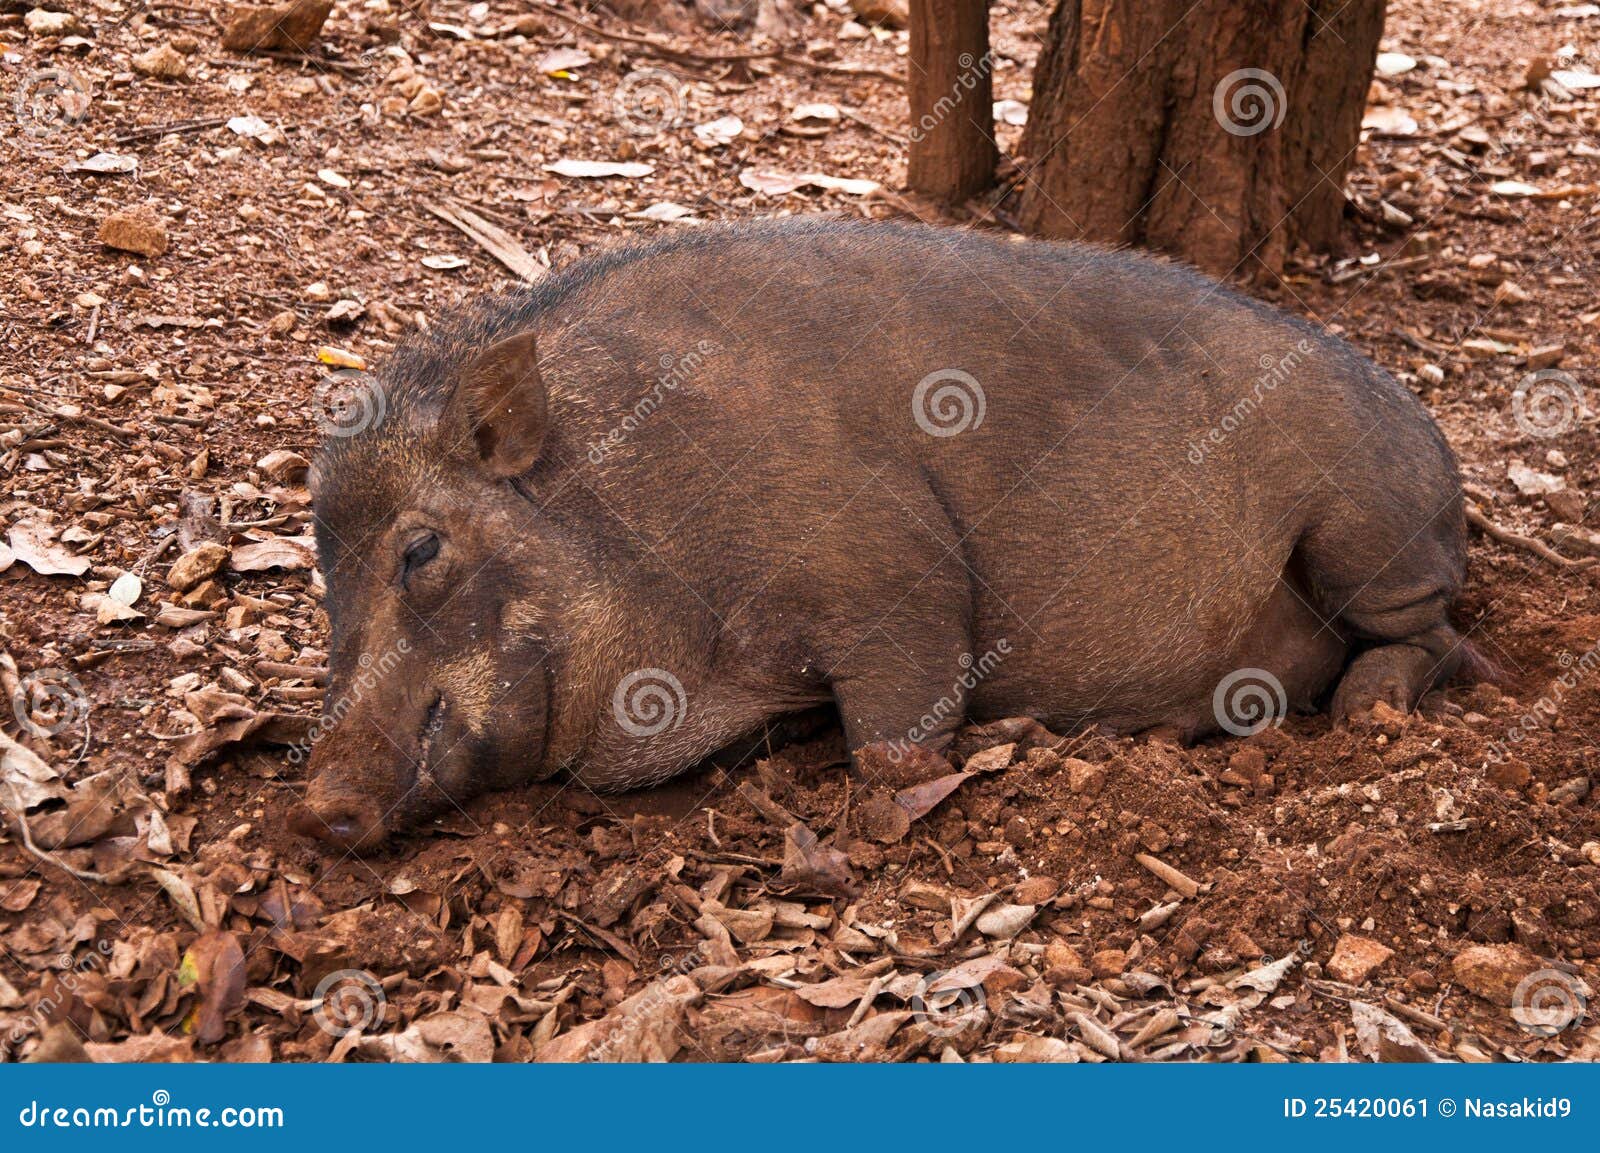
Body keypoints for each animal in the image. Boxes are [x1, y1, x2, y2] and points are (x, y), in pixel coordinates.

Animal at [290, 218, 1473, 851]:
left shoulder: (895, 575)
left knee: (1444, 636)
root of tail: (1430, 426)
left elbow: (893, 738)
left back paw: (1367, 708)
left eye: (420, 550)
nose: (311, 808)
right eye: (324, 582)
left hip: (1365, 532)